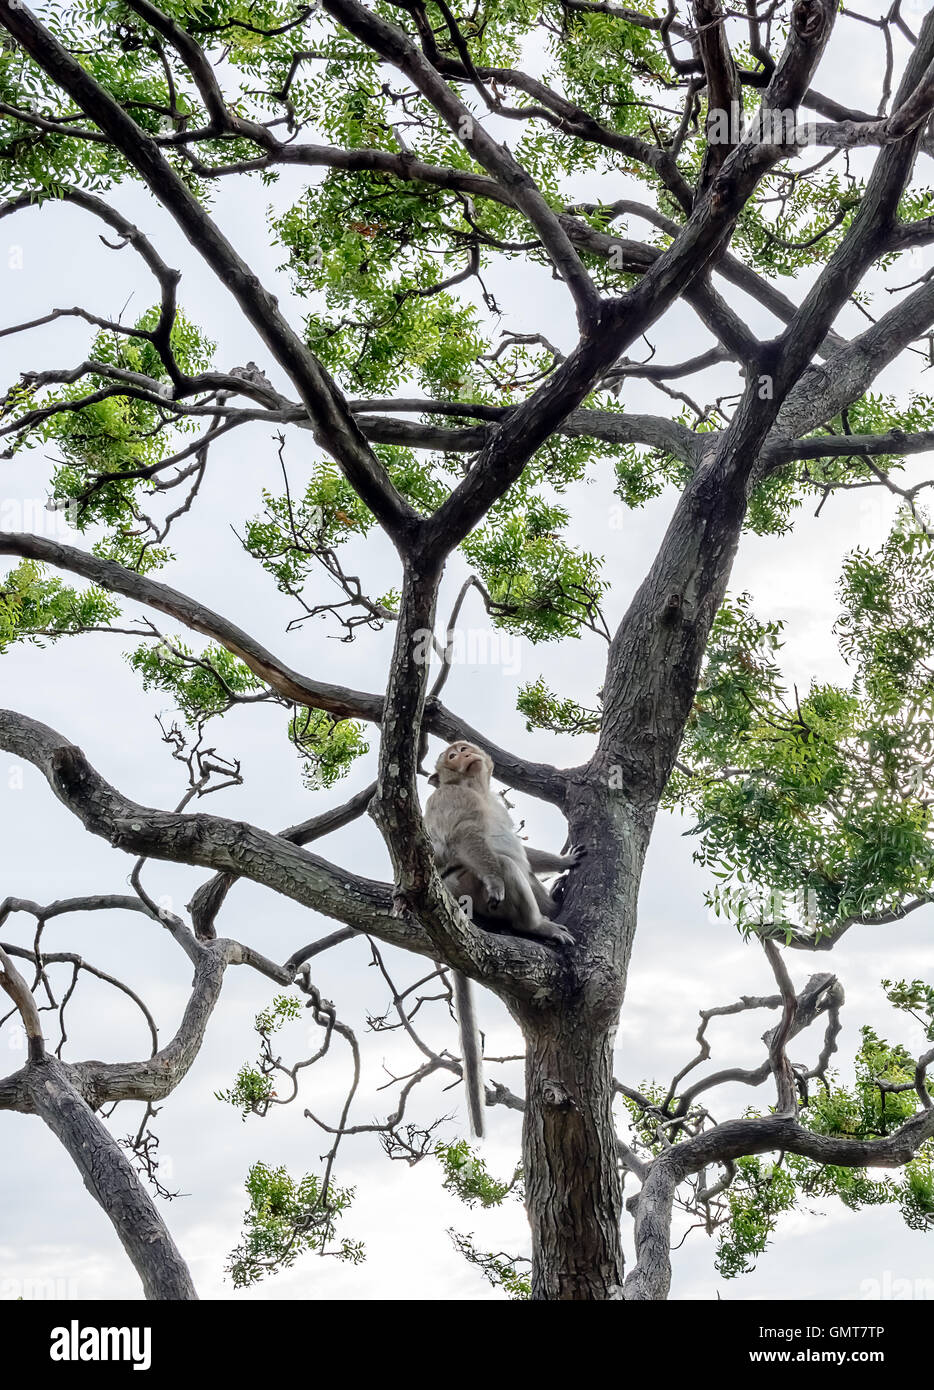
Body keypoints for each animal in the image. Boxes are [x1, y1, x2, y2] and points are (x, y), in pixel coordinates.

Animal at [424, 740, 585, 1136]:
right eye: (452, 755)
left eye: (461, 748)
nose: (463, 753)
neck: (474, 788)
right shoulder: (453, 800)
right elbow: (467, 835)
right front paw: (499, 882)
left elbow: (522, 849)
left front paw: (562, 861)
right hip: (467, 888)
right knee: (504, 863)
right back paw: (537, 925)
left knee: (517, 860)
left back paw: (552, 905)